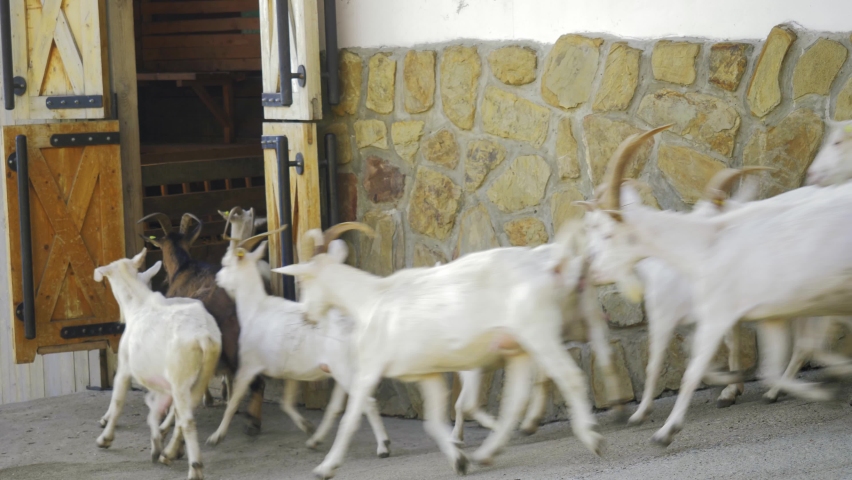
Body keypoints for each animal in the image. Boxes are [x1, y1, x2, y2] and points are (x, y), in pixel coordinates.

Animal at [94, 249, 221, 480]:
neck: (138, 304)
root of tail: (205, 338)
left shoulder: (125, 367)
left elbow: (117, 402)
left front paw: (105, 439)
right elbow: (155, 408)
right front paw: (157, 442)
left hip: (180, 376)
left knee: (187, 420)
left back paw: (194, 467)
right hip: (199, 377)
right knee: (183, 414)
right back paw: (170, 451)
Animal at [205, 225, 392, 457]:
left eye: (226, 264)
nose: (218, 279)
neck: (255, 309)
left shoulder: (248, 366)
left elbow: (233, 402)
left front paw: (216, 437)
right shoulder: (291, 372)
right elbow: (286, 403)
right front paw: (306, 426)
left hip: (344, 369)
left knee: (367, 402)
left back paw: (383, 446)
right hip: (341, 371)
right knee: (337, 407)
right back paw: (315, 440)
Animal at [276, 223, 601, 479]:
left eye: (303, 280)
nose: (306, 316)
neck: (371, 299)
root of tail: (551, 264)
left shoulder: (370, 369)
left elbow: (350, 418)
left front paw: (326, 467)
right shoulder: (426, 374)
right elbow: (432, 422)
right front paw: (458, 460)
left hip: (537, 332)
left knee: (569, 377)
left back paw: (592, 437)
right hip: (516, 345)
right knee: (515, 399)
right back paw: (488, 453)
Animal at [582, 124, 852, 446]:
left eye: (607, 232)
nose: (591, 270)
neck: (704, 246)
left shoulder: (694, 316)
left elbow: (673, 367)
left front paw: (658, 427)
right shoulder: (758, 316)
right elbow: (755, 366)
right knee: (807, 346)